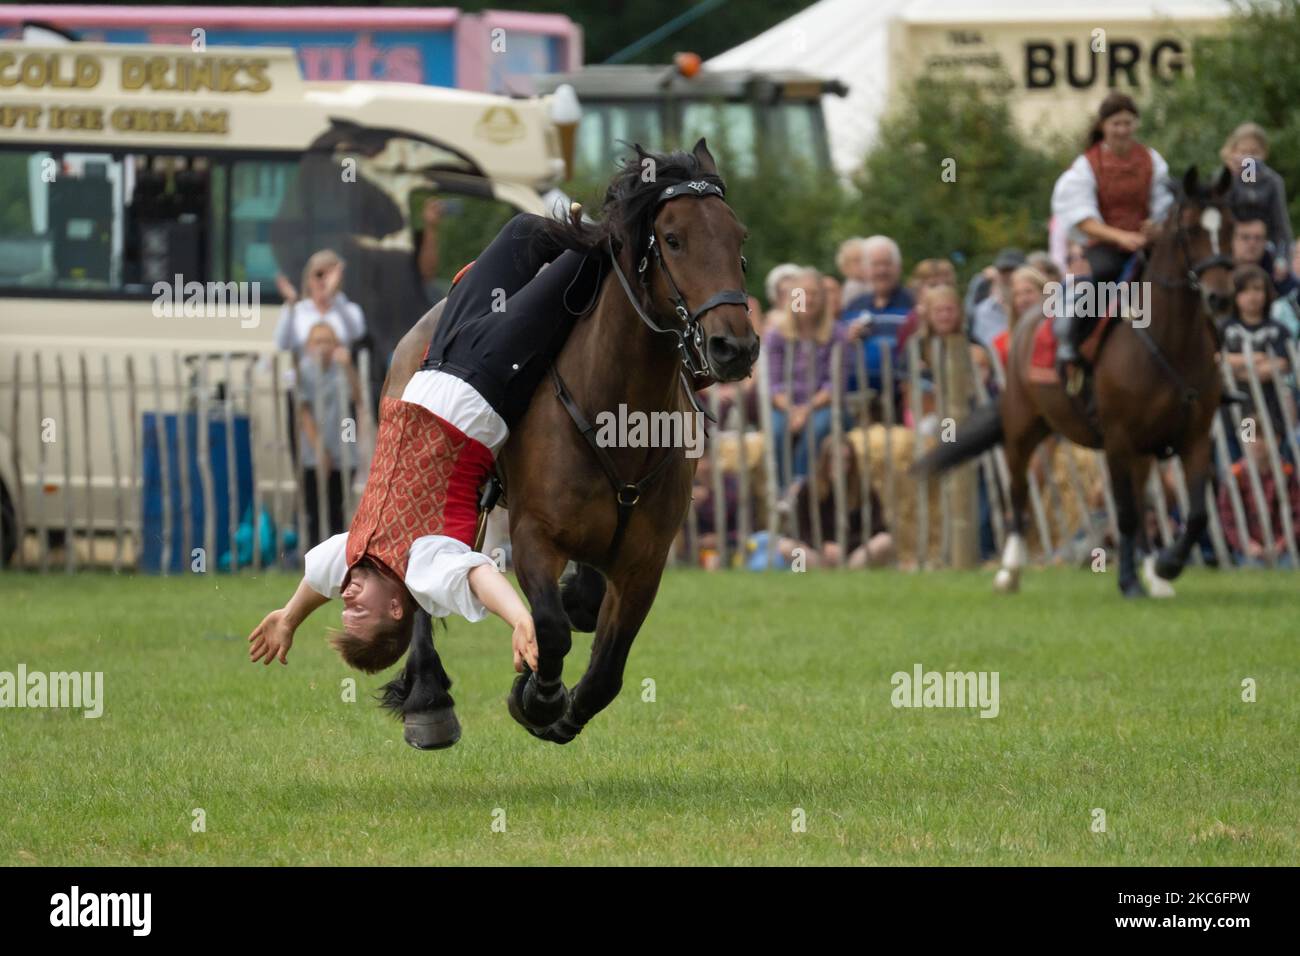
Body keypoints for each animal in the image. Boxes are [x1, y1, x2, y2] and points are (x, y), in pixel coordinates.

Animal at [380, 139, 758, 746]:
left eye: (737, 238)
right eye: (674, 238)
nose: (734, 346)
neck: (619, 416)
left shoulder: (644, 561)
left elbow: (605, 668)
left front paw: (566, 705)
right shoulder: (535, 536)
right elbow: (551, 629)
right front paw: (538, 697)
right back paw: (428, 700)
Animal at [914, 167, 1235, 598]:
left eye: (1230, 226)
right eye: (1190, 230)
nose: (1220, 298)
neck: (1169, 340)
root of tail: (1024, 320)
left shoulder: (1194, 438)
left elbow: (1196, 513)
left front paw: (1164, 567)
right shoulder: (1117, 439)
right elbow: (1127, 514)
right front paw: (1130, 581)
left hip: (1139, 451)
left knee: (1144, 502)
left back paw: (1154, 575)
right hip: (1022, 430)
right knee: (1019, 495)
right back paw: (1009, 572)